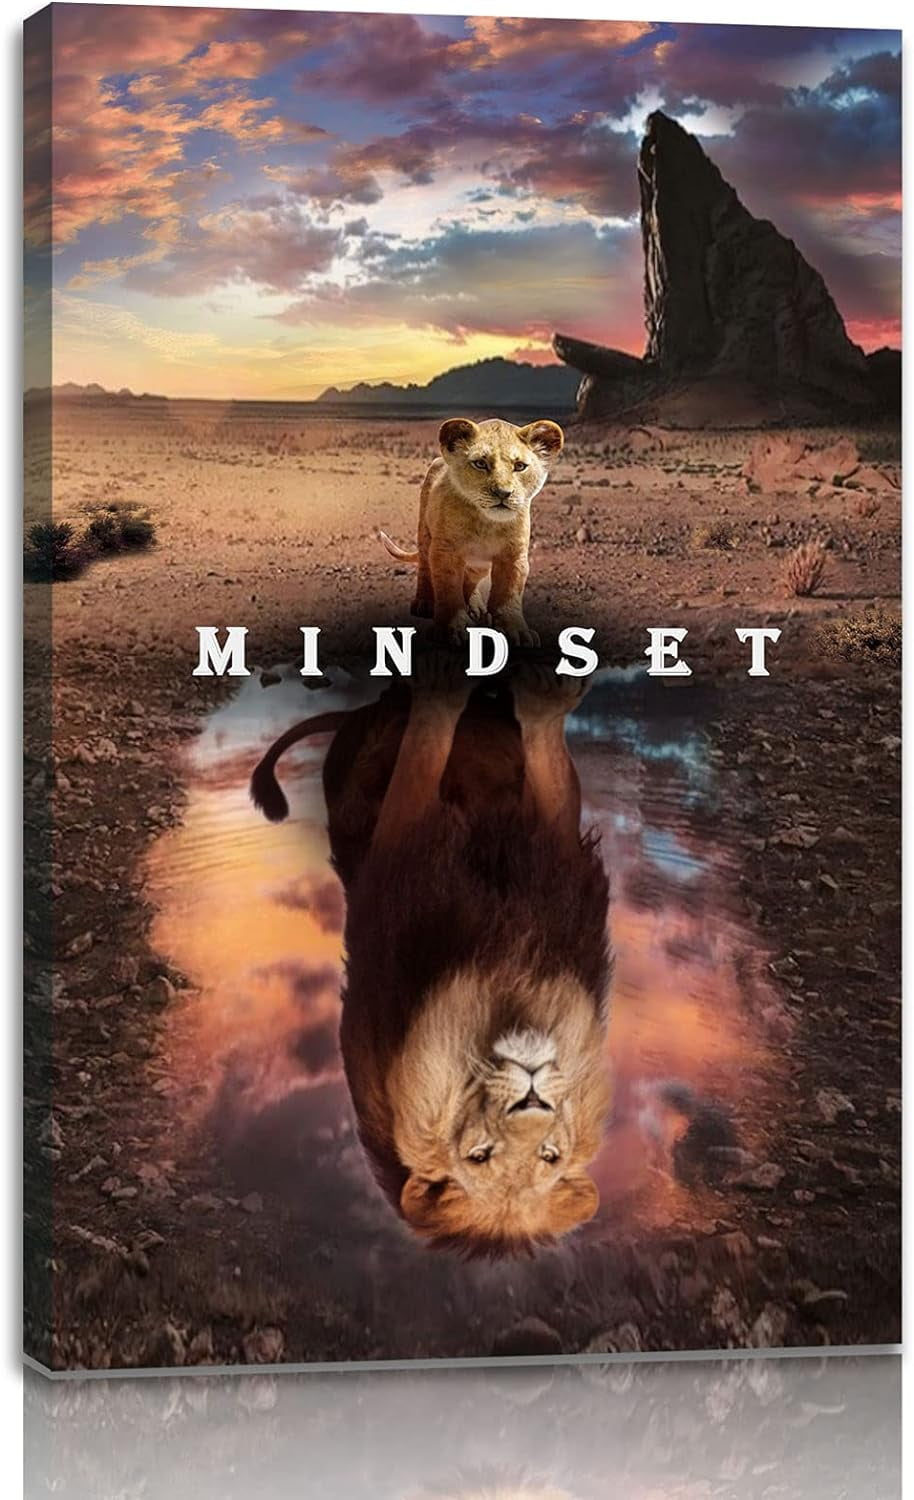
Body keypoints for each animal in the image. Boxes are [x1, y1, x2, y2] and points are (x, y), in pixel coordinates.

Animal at [250, 655, 611, 1256]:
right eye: (480, 1157)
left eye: (549, 1156)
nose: (533, 1098)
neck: (510, 978)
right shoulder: (400, 854)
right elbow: (433, 738)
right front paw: (450, 684)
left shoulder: (554, 844)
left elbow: (528, 748)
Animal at [378, 417, 564, 648]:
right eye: (480, 464)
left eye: (520, 466)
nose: (503, 493)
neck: (487, 522)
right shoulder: (446, 551)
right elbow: (448, 588)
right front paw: (452, 629)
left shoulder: (514, 555)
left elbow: (509, 591)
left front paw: (515, 630)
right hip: (425, 534)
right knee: (425, 567)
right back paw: (425, 603)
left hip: (479, 565)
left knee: (470, 578)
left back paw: (476, 607)